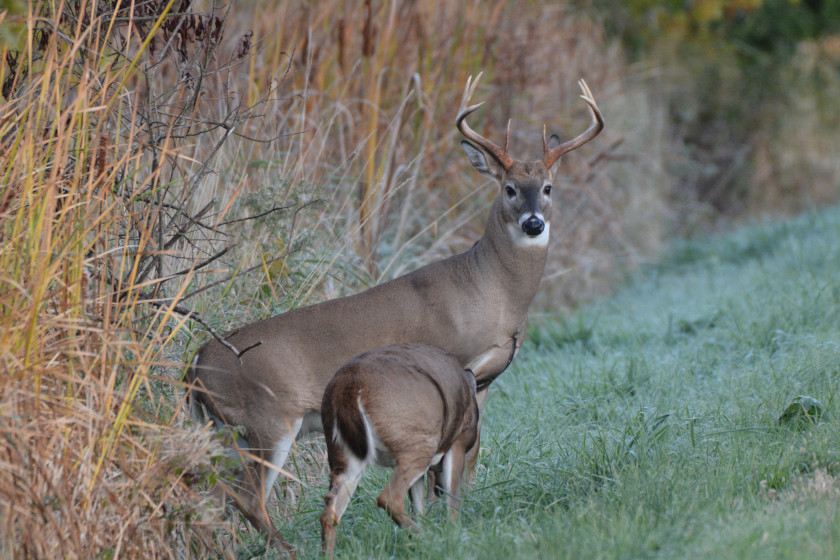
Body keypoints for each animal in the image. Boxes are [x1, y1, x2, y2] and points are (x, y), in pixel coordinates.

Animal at [319, 343, 479, 558]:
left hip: (343, 456)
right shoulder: (458, 442)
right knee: (389, 498)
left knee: (329, 512)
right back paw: (426, 540)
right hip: (419, 444)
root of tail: (350, 388)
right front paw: (454, 538)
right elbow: (452, 499)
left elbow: (419, 506)